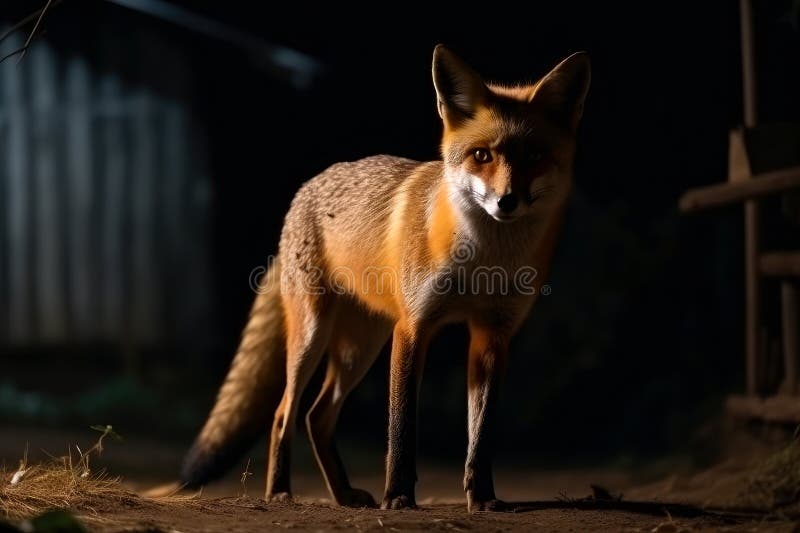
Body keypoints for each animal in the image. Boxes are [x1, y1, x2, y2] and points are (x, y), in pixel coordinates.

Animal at [180, 45, 590, 513]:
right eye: (482, 155)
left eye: (535, 157)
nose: (507, 201)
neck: (485, 263)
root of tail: (308, 185)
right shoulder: (413, 327)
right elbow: (402, 427)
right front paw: (398, 496)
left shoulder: (493, 336)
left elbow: (481, 434)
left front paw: (483, 497)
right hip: (313, 337)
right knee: (285, 412)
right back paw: (280, 490)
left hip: (359, 349)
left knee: (316, 417)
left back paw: (342, 494)